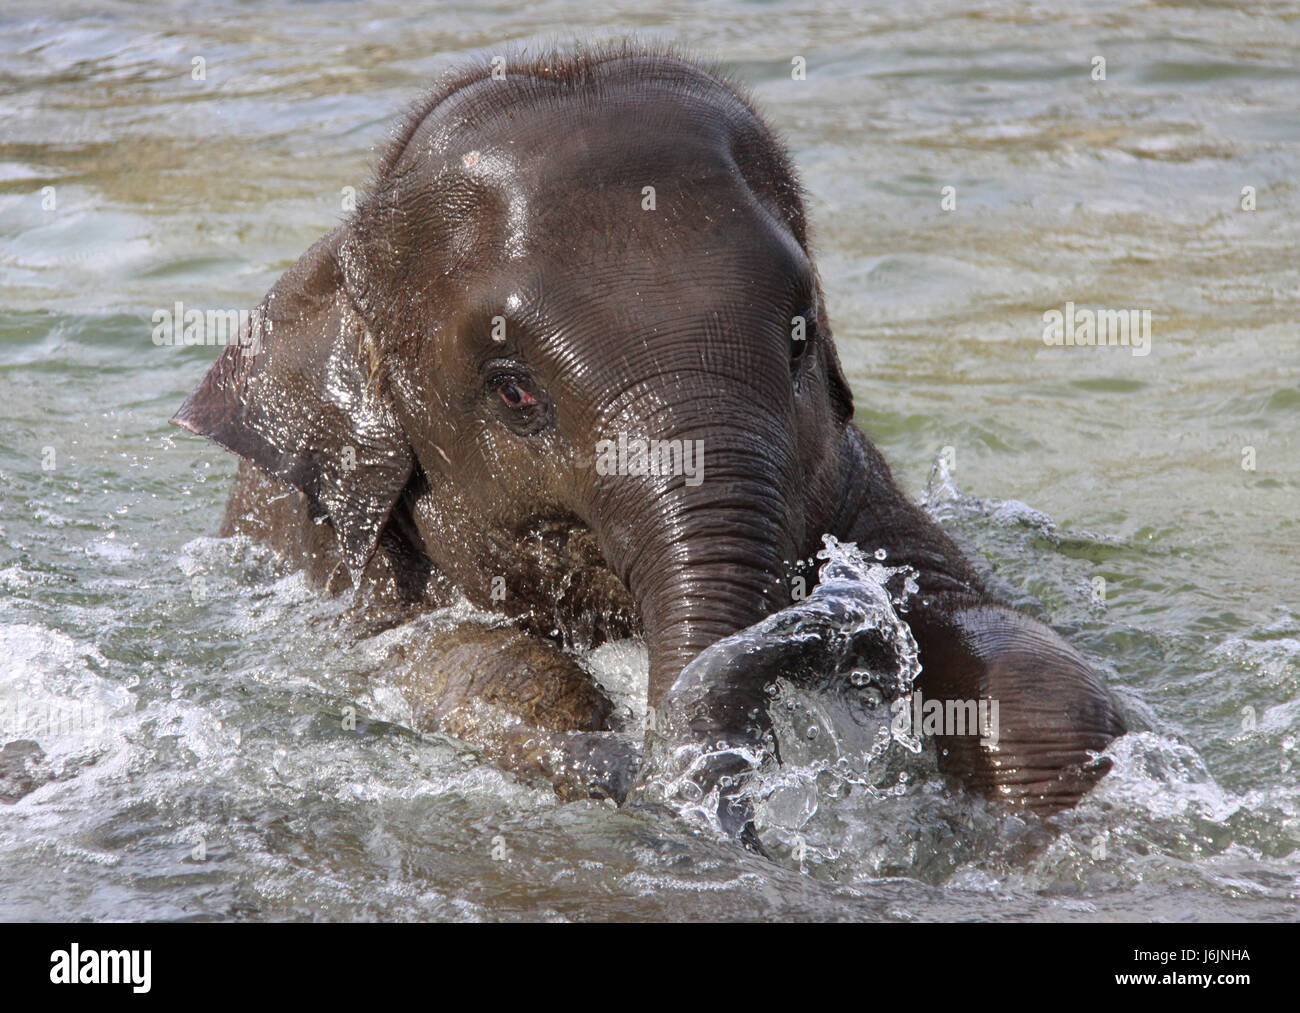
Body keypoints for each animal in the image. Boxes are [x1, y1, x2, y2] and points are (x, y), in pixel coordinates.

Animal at [172, 45, 1124, 839]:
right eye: (514, 391)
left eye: (799, 337)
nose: (835, 607)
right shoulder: (340, 569)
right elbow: (433, 663)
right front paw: (604, 755)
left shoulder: (855, 481)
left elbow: (997, 630)